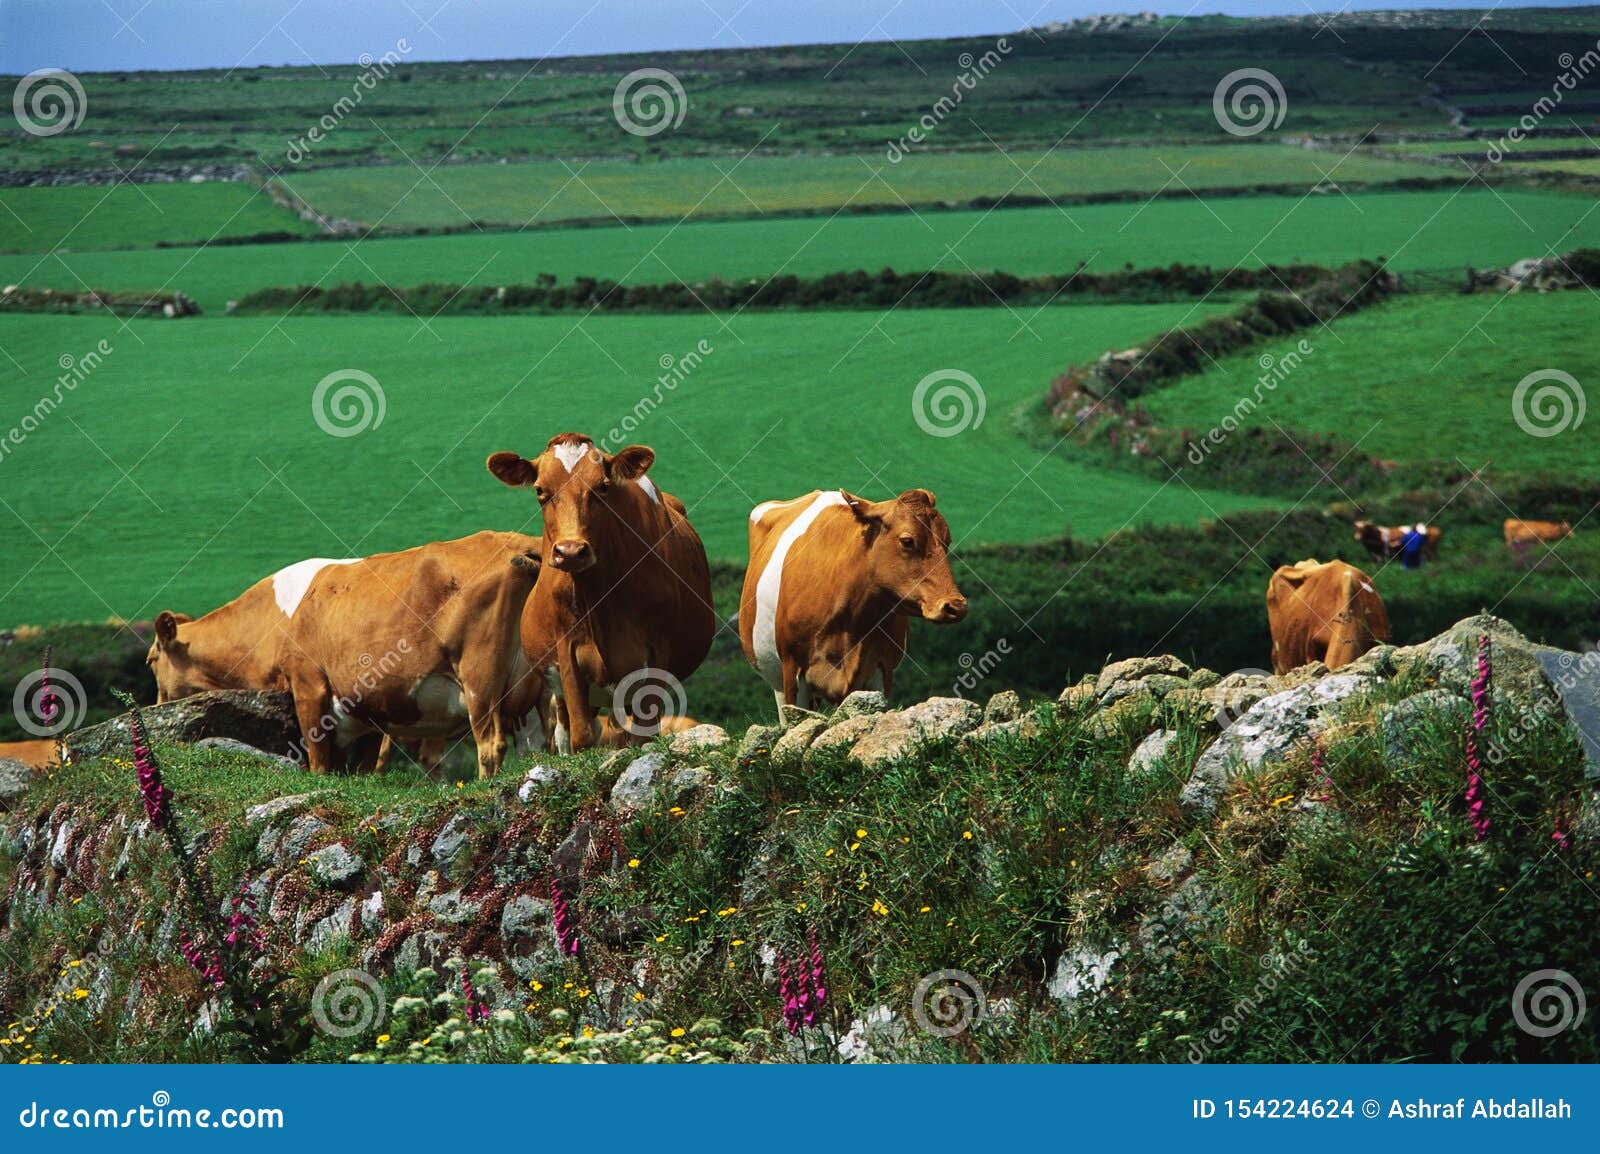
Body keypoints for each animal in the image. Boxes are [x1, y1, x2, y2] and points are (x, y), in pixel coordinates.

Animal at [148, 531, 545, 777]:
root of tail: (517, 542)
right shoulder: (369, 707)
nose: (156, 706)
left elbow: (318, 760)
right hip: (536, 692)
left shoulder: (309, 685)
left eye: (151, 660)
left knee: (490, 744)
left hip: (480, 679)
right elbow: (361, 766)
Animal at [487, 434, 715, 753]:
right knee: (565, 728)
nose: (570, 551)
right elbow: (581, 735)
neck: (598, 598)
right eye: (540, 490)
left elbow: (644, 735)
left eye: (603, 486)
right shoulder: (566, 652)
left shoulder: (657, 649)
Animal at [738, 488, 968, 713]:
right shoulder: (792, 670)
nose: (956, 606)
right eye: (907, 541)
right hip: (777, 682)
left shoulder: (882, 669)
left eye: (947, 541)